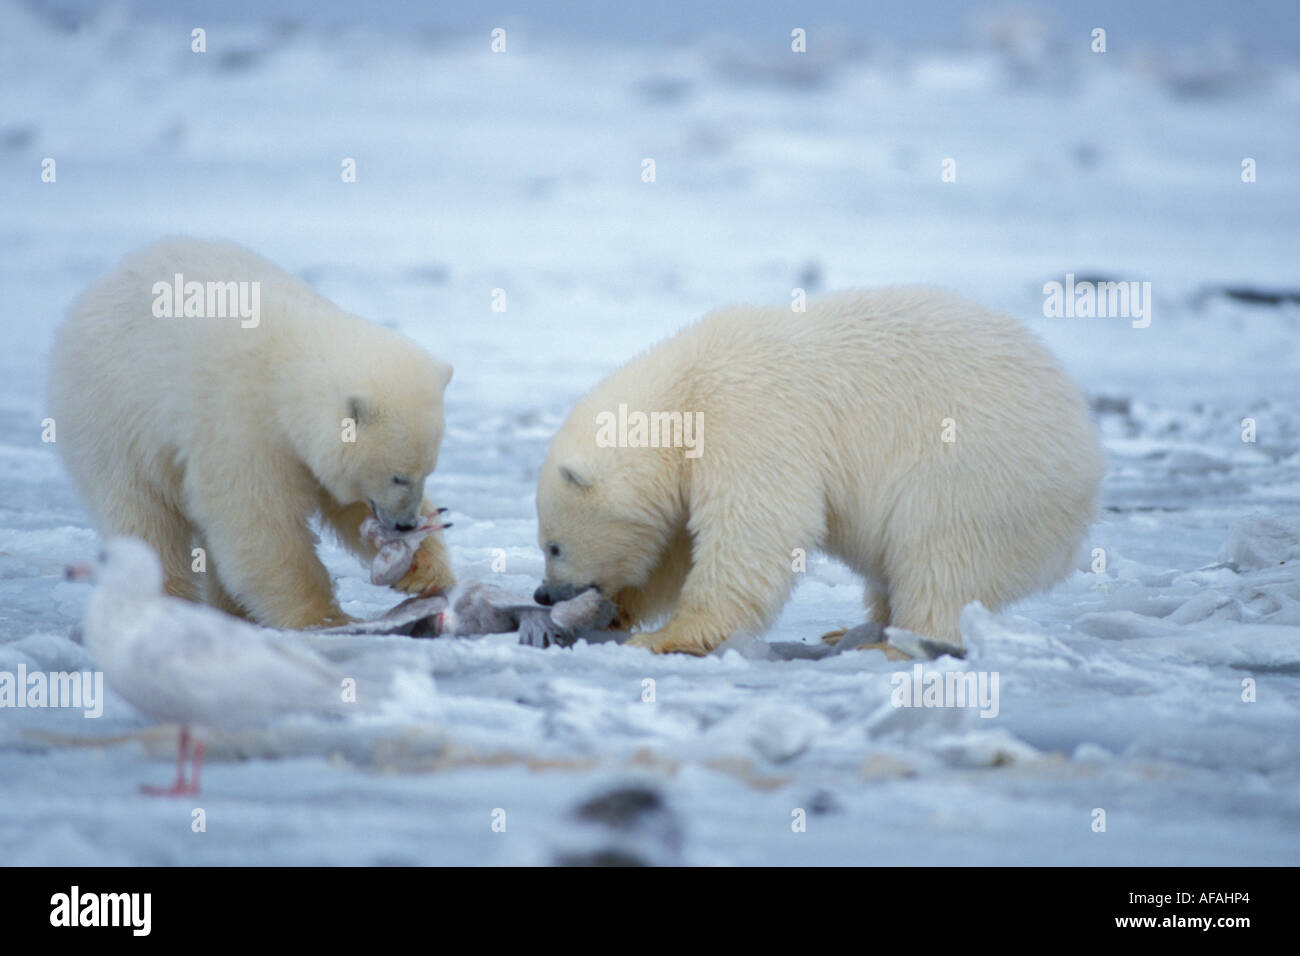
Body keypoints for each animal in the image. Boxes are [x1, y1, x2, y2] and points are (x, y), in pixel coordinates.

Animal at [48, 237, 455, 629]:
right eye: (398, 476)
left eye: (427, 472)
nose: (405, 524)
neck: (285, 367)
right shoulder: (242, 426)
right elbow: (258, 520)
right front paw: (325, 617)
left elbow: (343, 501)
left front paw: (422, 571)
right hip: (112, 423)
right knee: (146, 519)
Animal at [533, 287, 1105, 655]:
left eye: (553, 546)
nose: (544, 593)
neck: (685, 394)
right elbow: (674, 547)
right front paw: (620, 609)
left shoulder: (750, 419)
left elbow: (756, 530)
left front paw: (663, 636)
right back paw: (857, 629)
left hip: (977, 474)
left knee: (940, 556)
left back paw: (896, 643)